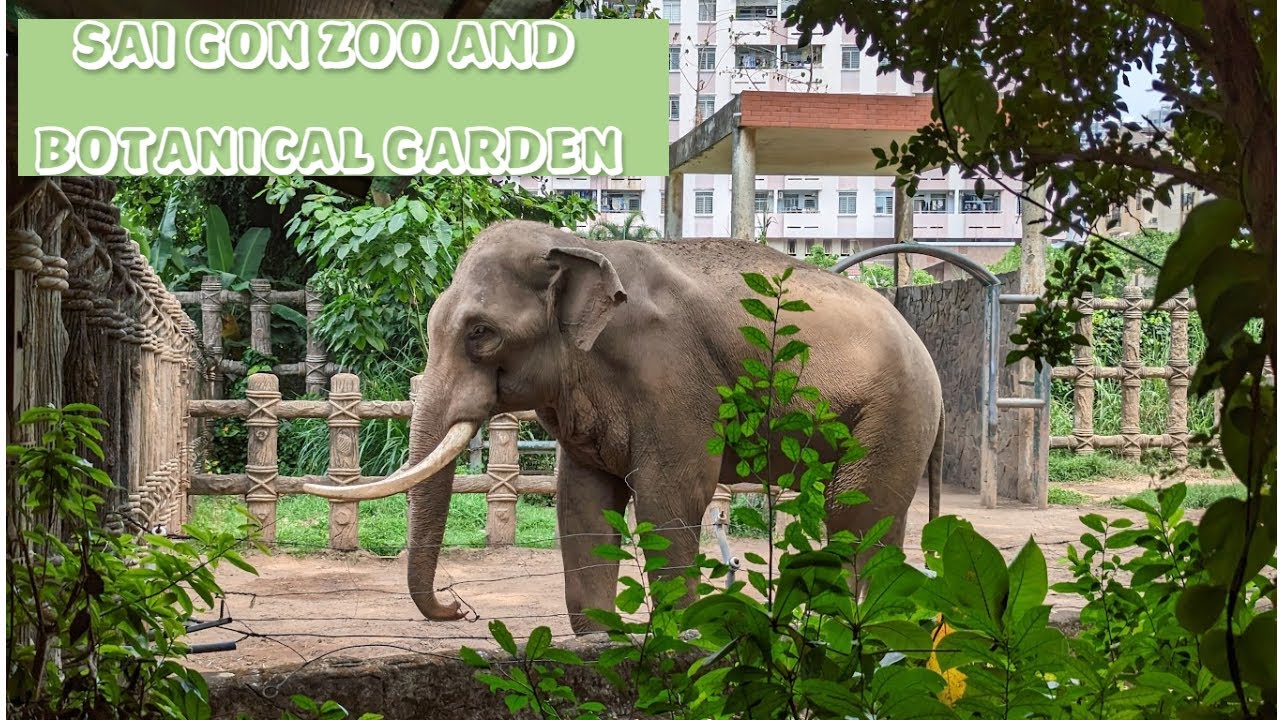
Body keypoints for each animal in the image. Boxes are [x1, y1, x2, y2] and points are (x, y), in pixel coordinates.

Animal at [304, 219, 944, 634]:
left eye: (481, 334)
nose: (459, 608)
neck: (583, 247)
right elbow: (582, 498)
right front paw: (598, 640)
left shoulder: (672, 377)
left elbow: (669, 494)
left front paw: (680, 641)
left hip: (895, 411)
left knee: (856, 514)